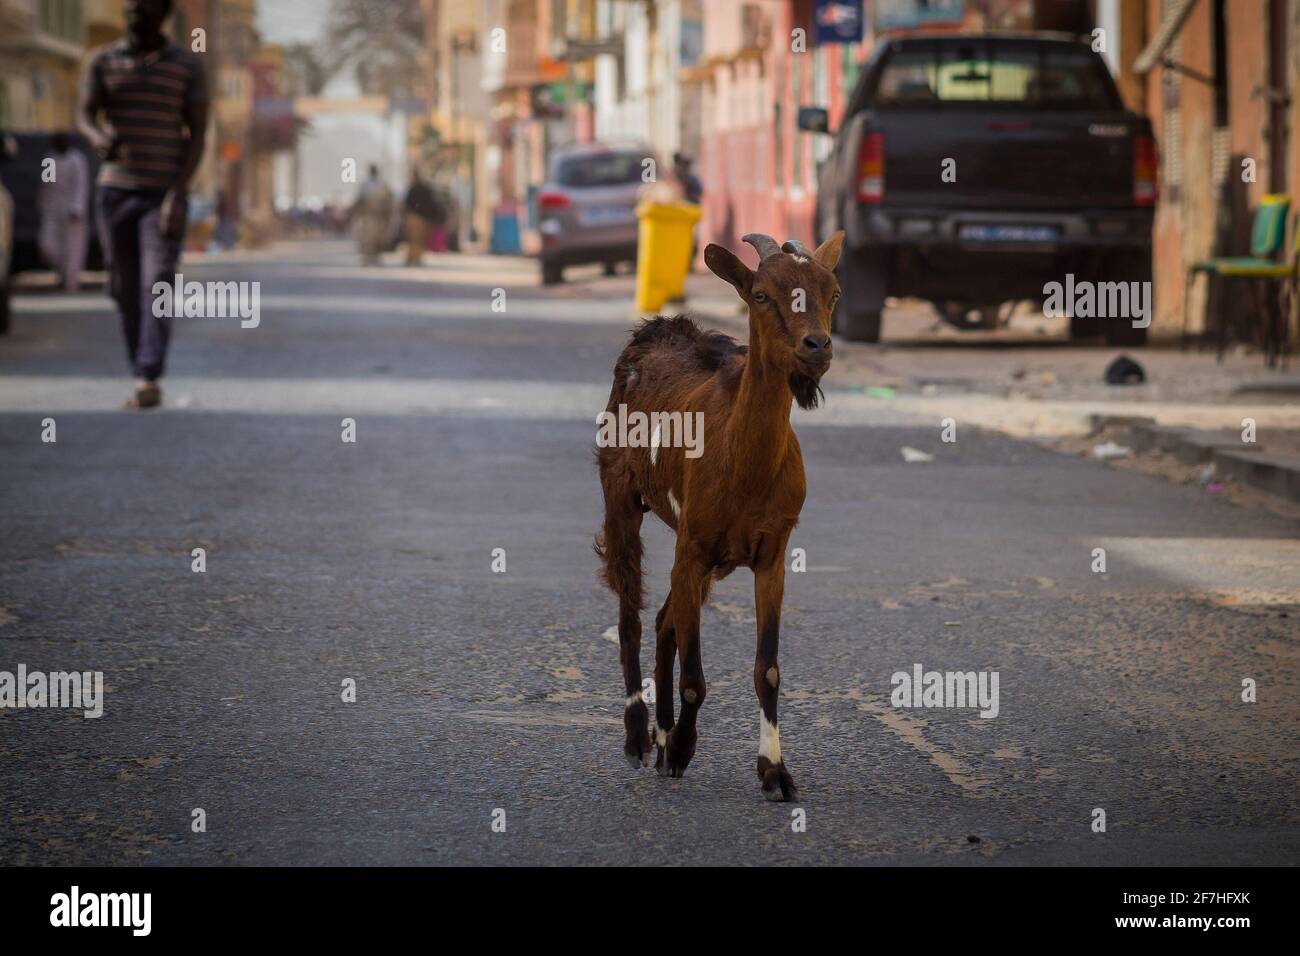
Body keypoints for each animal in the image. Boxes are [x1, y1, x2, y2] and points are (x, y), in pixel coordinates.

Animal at [595, 230, 845, 801]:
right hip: (621, 493)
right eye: (761, 294)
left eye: (834, 292)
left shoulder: (771, 553)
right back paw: (641, 736)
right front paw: (682, 750)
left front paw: (774, 770)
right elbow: (694, 676)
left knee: (666, 619)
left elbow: (767, 669)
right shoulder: (693, 544)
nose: (816, 347)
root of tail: (658, 328)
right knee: (631, 613)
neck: (742, 461)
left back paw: (663, 734)